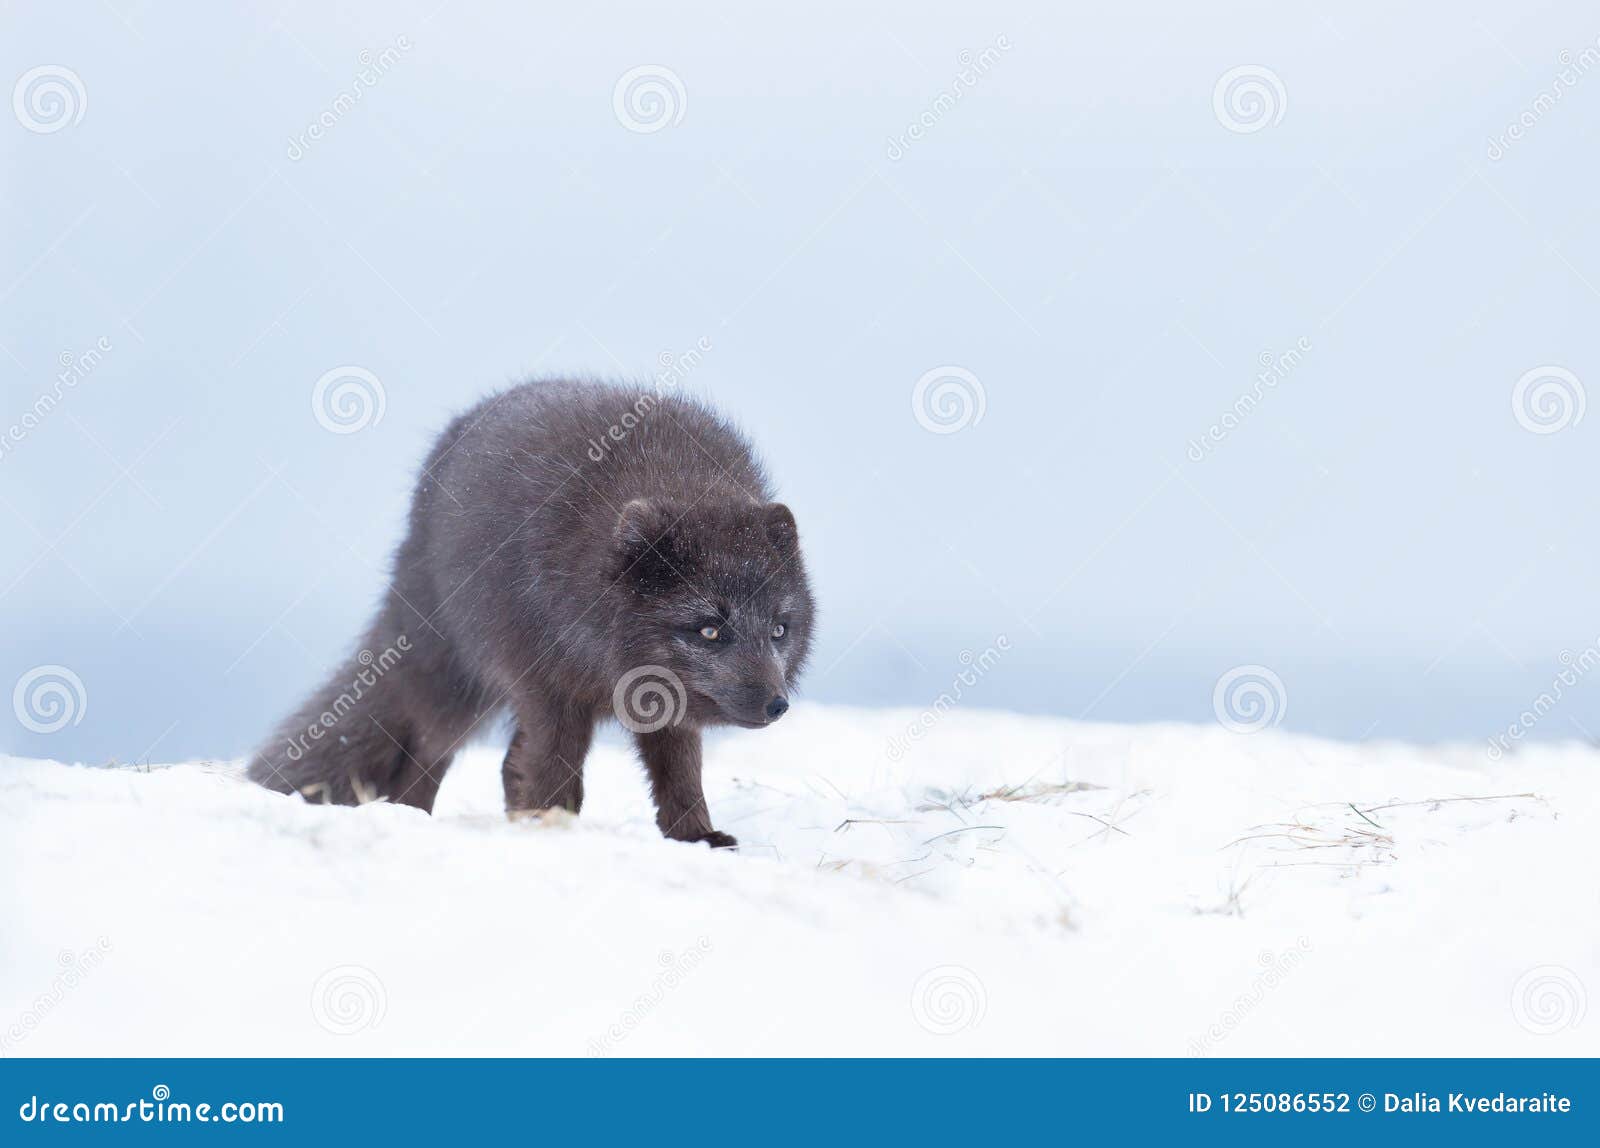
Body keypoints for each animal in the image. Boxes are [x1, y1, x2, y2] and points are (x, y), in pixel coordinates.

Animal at [247, 379, 815, 848]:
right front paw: (552, 829)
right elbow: (556, 769)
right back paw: (414, 816)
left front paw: (695, 837)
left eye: (778, 629)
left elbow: (680, 771)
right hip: (452, 681)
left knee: (503, 762)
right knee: (428, 750)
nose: (776, 705)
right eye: (710, 629)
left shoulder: (667, 701)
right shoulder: (548, 689)